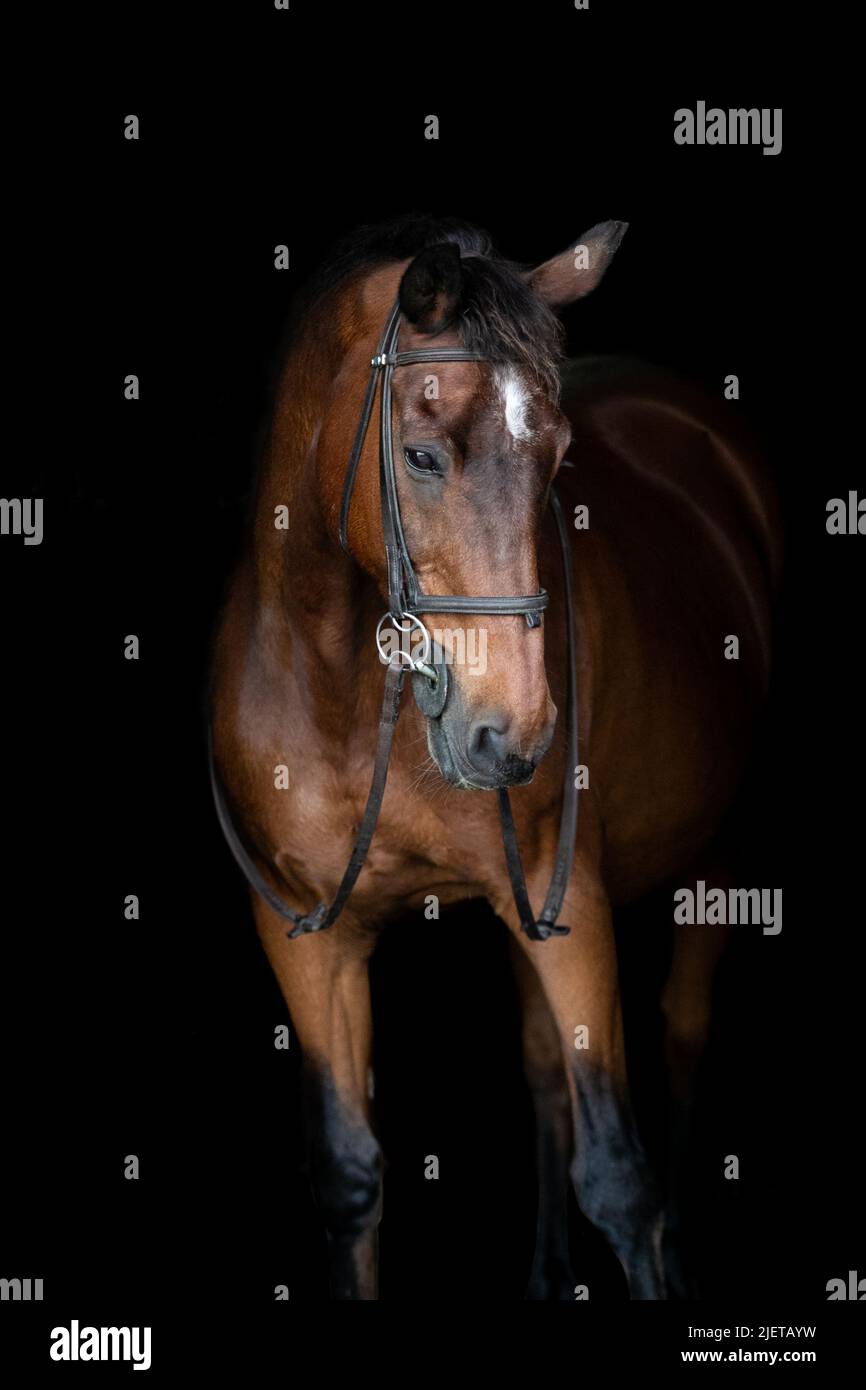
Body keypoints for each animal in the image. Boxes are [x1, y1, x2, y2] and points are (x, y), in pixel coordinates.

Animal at [208, 215, 781, 1300]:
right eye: (422, 455)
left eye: (558, 458)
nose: (511, 733)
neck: (344, 693)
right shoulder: (306, 940)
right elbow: (350, 1177)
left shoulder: (576, 905)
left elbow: (621, 1180)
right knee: (542, 1068)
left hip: (717, 858)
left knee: (682, 1038)